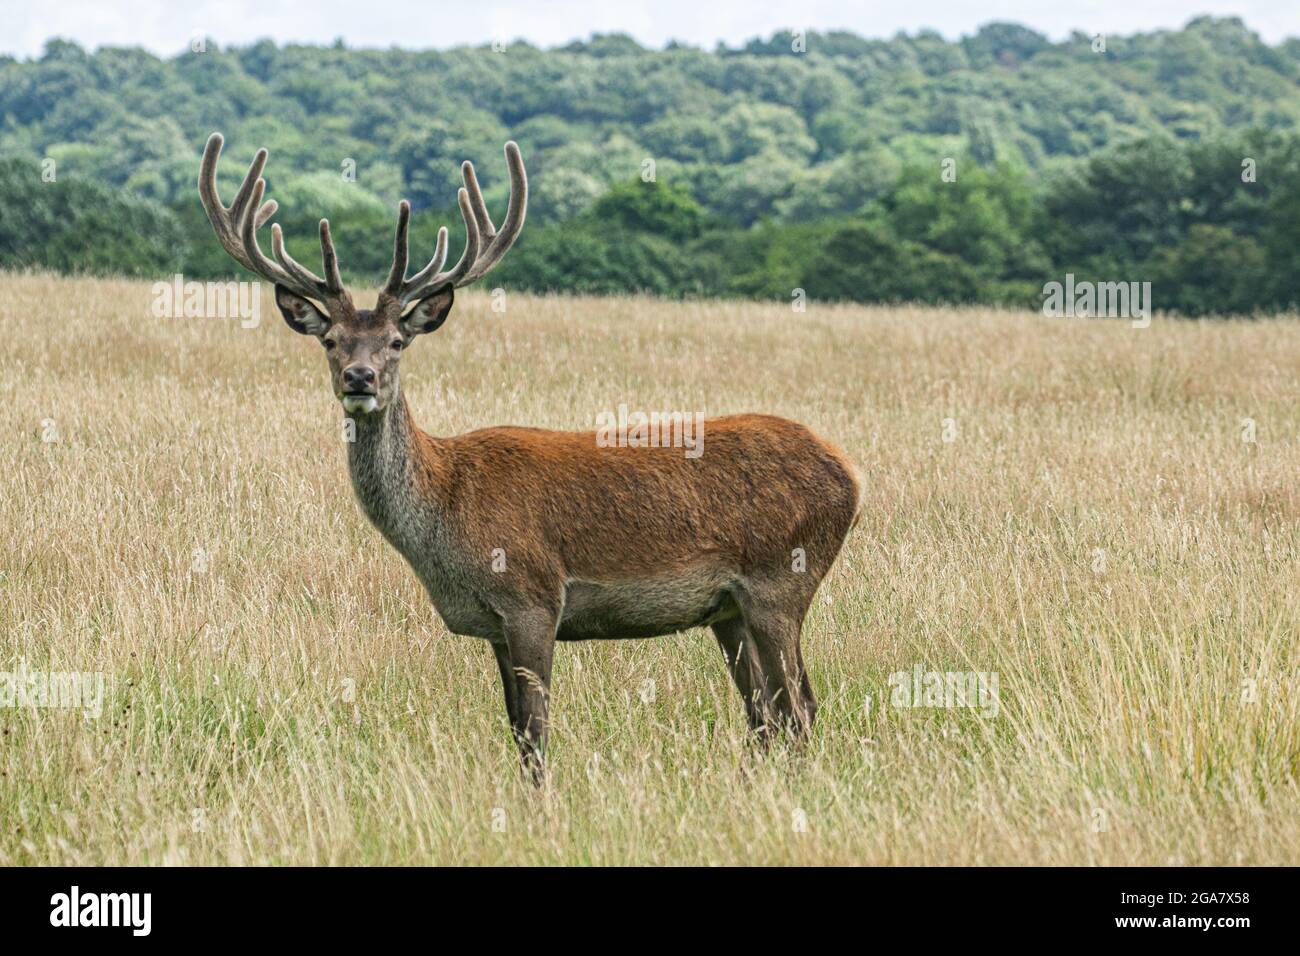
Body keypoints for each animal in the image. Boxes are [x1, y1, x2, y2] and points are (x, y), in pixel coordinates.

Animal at [198, 132, 861, 782]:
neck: (444, 516)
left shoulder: (532, 596)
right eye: (331, 340)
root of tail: (852, 476)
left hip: (781, 580)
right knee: (766, 714)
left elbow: (537, 734)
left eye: (396, 341)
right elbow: (516, 731)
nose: (359, 378)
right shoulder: (495, 626)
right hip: (729, 610)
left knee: (798, 707)